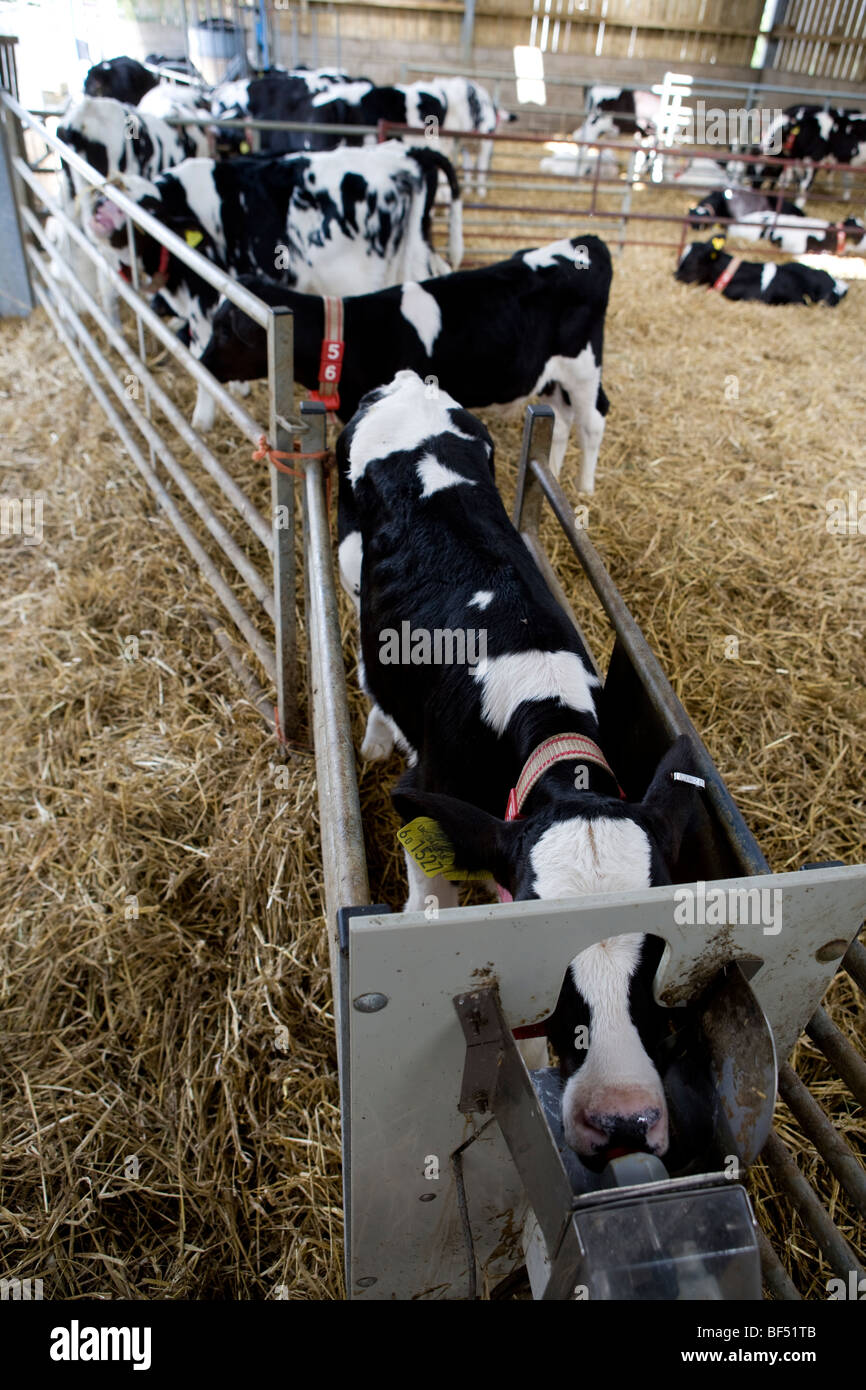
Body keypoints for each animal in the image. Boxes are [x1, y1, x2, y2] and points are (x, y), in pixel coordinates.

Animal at [88, 142, 463, 429]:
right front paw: (237, 389)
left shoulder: (204, 297)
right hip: (418, 252)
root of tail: (411, 154)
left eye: (148, 210)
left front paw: (202, 419)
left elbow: (199, 356)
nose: (99, 211)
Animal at [199, 233, 611, 490]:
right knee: (563, 420)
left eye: (223, 330)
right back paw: (554, 470)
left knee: (593, 420)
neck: (349, 338)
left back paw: (585, 488)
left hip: (584, 367)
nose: (202, 362)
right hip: (552, 376)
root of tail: (587, 241)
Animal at [335, 369, 704, 1160]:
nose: (623, 1121)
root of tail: (409, 382)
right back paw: (376, 734)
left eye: (657, 950)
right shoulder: (428, 798)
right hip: (350, 566)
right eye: (541, 940)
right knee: (368, 665)